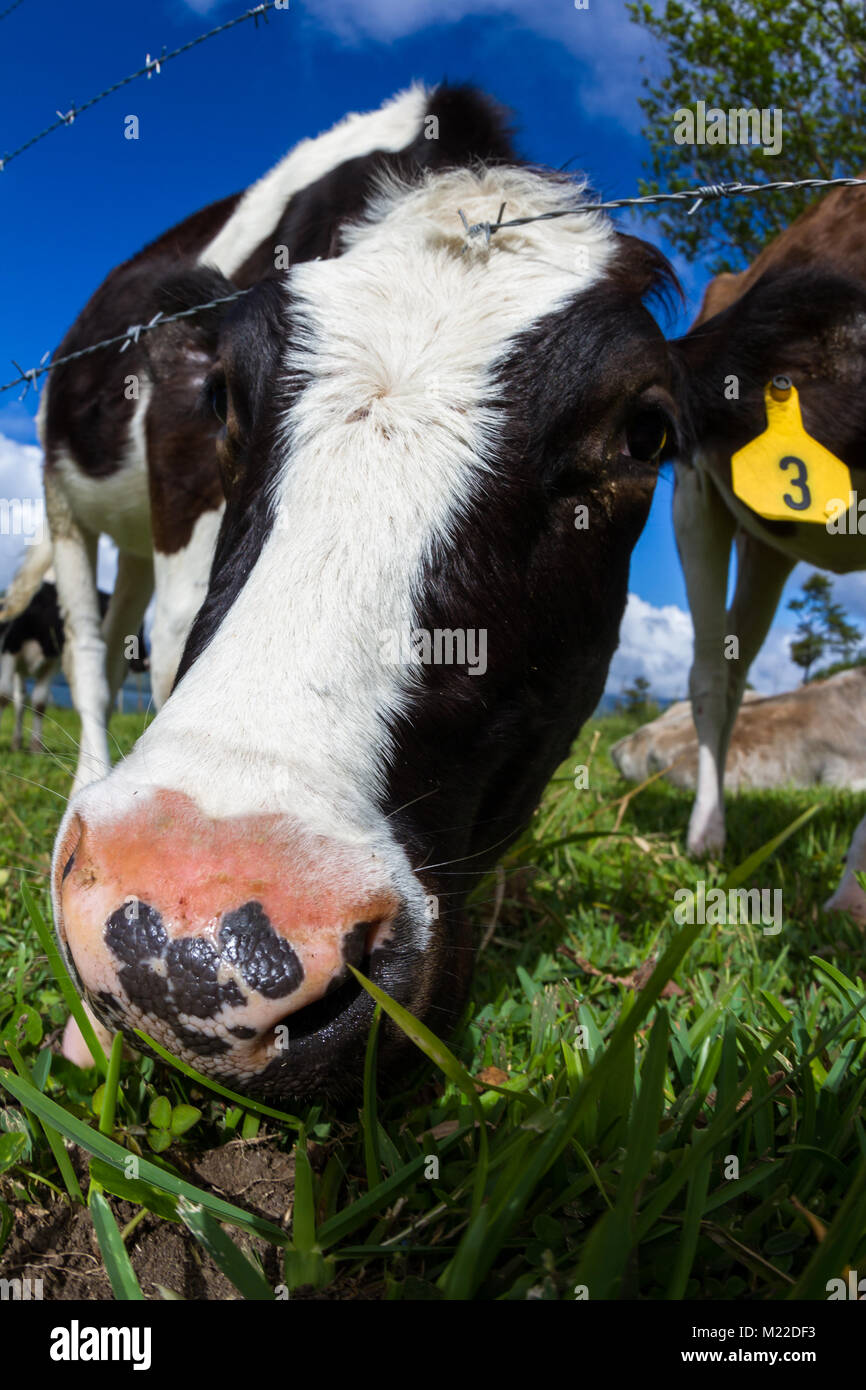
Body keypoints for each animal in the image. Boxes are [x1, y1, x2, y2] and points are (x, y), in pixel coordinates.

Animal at [50, 85, 679, 1100]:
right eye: (221, 394)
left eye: (645, 433)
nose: (184, 949)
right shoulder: (177, 483)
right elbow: (175, 628)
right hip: (66, 507)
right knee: (86, 646)